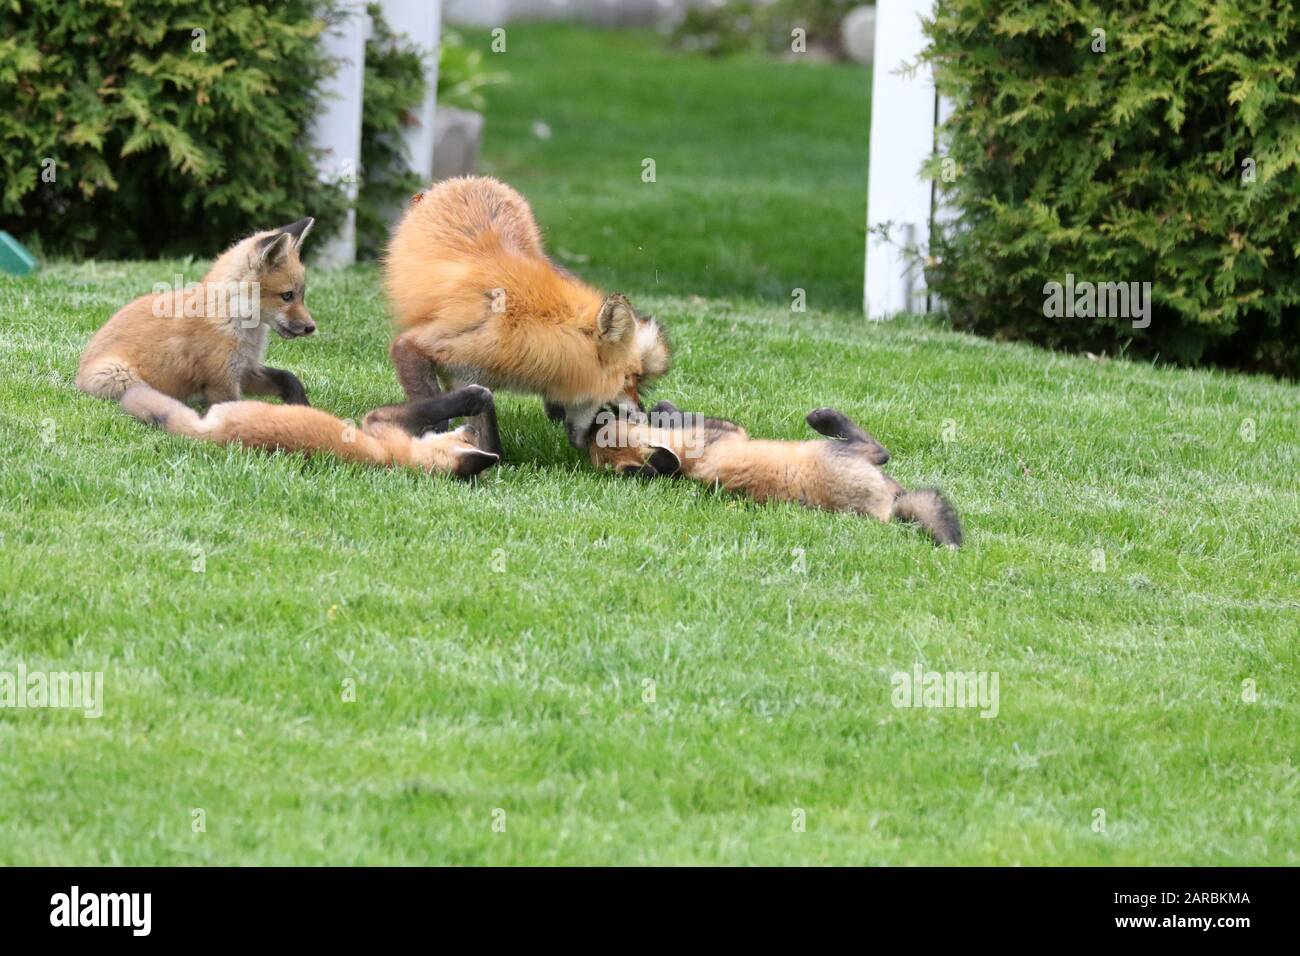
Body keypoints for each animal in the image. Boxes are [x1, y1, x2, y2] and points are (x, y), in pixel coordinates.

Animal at [77, 218, 319, 407]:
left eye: (302, 295)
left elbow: (288, 377)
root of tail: (78, 375)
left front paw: (301, 404)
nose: (311, 328)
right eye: (287, 296)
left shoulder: (245, 370)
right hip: (122, 376)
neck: (232, 321)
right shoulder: (222, 381)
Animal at [120, 382, 500, 479]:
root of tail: (209, 436)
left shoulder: (377, 421)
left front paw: (474, 397)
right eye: (470, 436)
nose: (472, 426)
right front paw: (476, 398)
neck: (401, 461)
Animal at [383, 176, 670, 455]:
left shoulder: (471, 378)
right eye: (631, 378)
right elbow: (437, 413)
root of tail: (468, 179)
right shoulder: (420, 347)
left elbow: (489, 441)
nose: (644, 414)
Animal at [589, 401, 963, 547]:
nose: (585, 427)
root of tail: (890, 512)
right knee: (879, 451)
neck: (688, 463)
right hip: (837, 452)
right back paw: (826, 418)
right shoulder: (723, 431)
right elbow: (676, 414)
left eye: (601, 434)